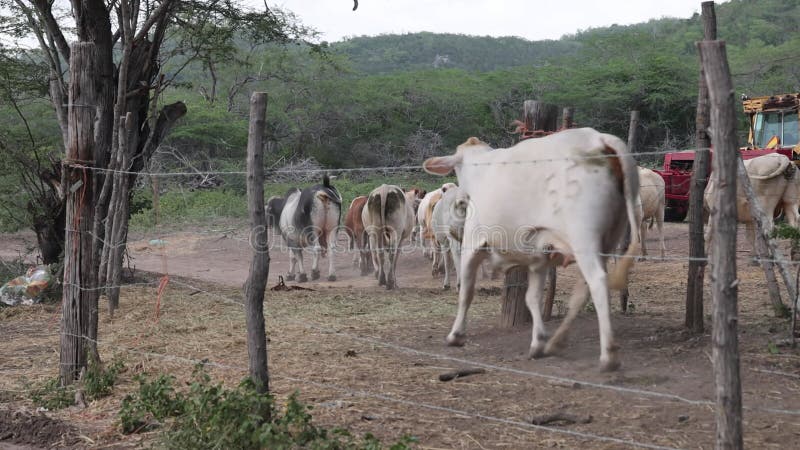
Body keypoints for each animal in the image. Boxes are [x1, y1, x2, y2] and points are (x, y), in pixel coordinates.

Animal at [423, 128, 641, 371]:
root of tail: (599, 138)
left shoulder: (473, 245)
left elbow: (466, 293)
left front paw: (456, 334)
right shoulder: (539, 259)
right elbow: (532, 298)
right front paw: (538, 341)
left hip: (584, 237)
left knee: (598, 282)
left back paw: (608, 355)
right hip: (609, 239)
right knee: (583, 291)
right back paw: (557, 342)